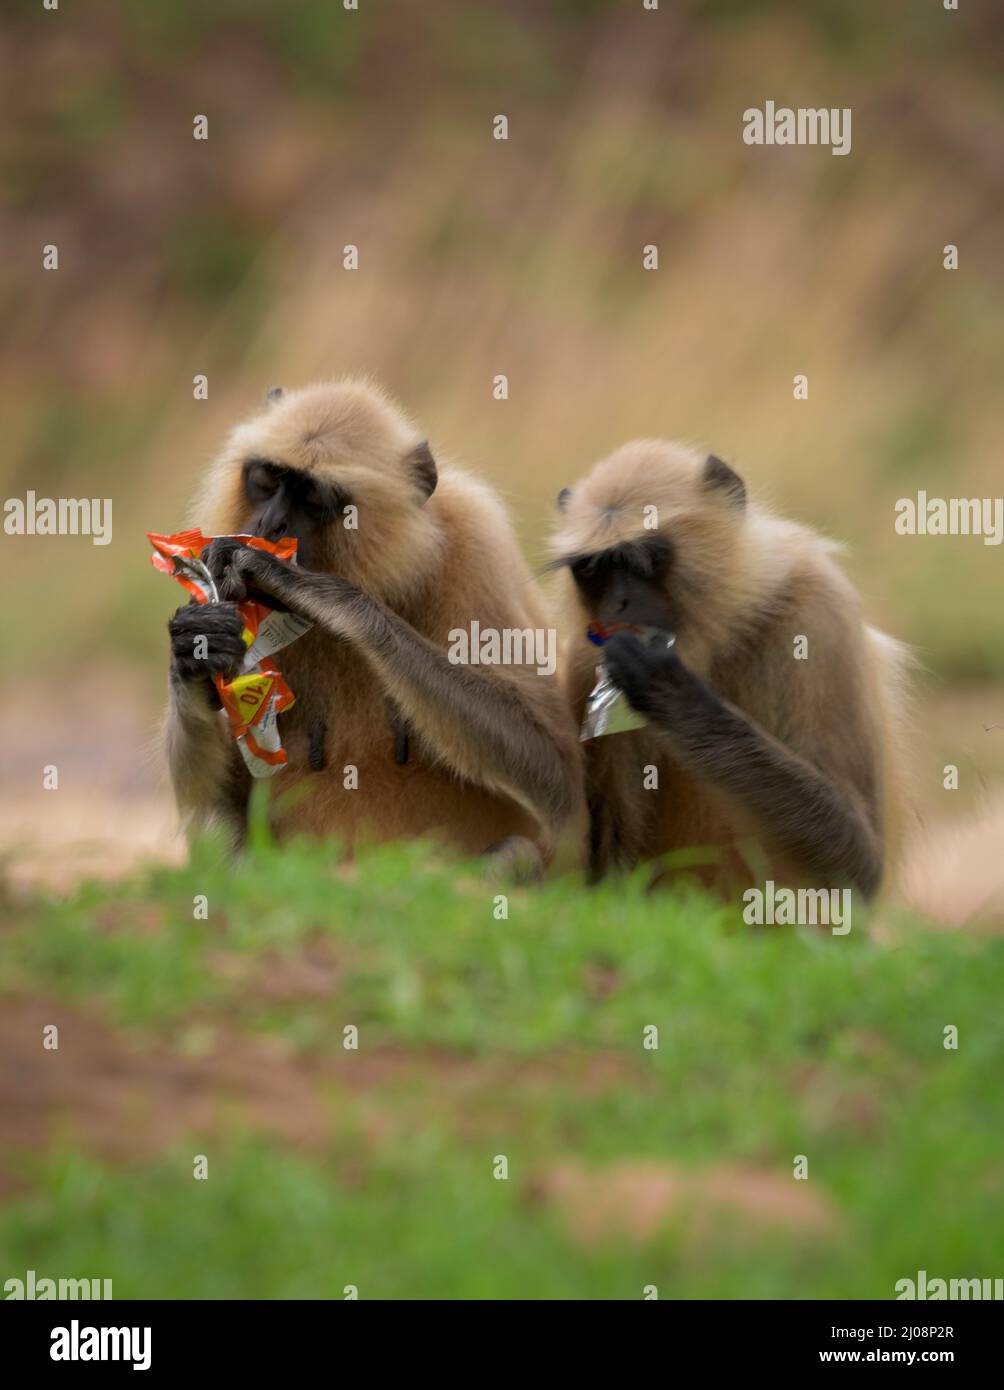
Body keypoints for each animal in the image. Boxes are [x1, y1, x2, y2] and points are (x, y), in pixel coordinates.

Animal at [163, 379, 584, 874]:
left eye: (315, 499)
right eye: (266, 479)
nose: (269, 523)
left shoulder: (476, 541)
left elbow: (556, 775)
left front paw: (326, 597)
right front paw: (198, 646)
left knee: (515, 850)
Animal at [549, 440, 908, 901]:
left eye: (644, 560)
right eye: (593, 569)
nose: (618, 604)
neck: (723, 636)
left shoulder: (821, 615)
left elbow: (859, 865)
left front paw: (672, 693)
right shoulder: (585, 658)